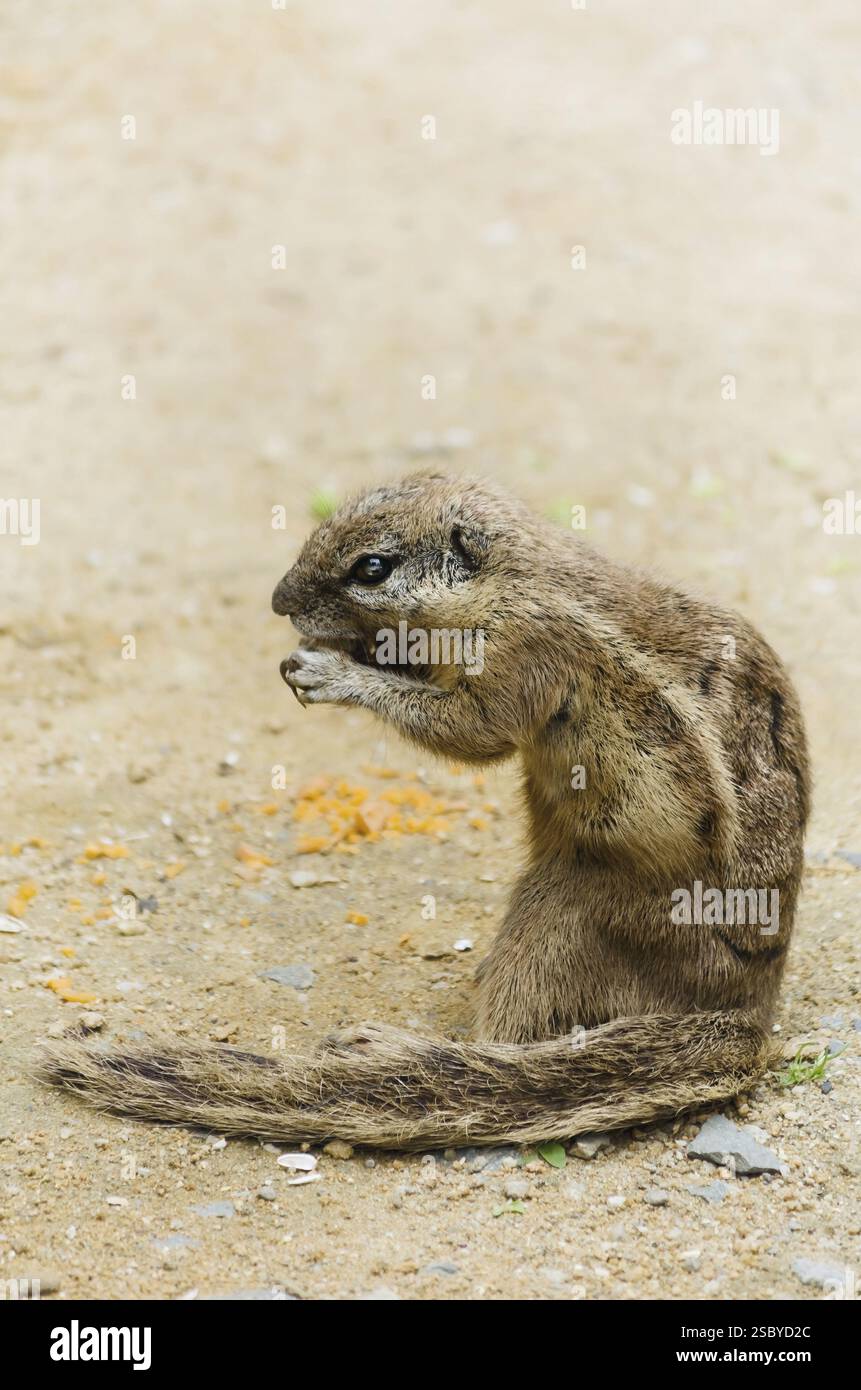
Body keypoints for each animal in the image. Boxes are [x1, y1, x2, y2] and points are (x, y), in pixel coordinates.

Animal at [40, 473, 810, 1148]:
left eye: (372, 567)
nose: (278, 600)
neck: (514, 574)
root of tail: (747, 1011)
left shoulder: (525, 655)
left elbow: (472, 732)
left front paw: (334, 671)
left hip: (567, 913)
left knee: (508, 1034)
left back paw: (379, 1044)